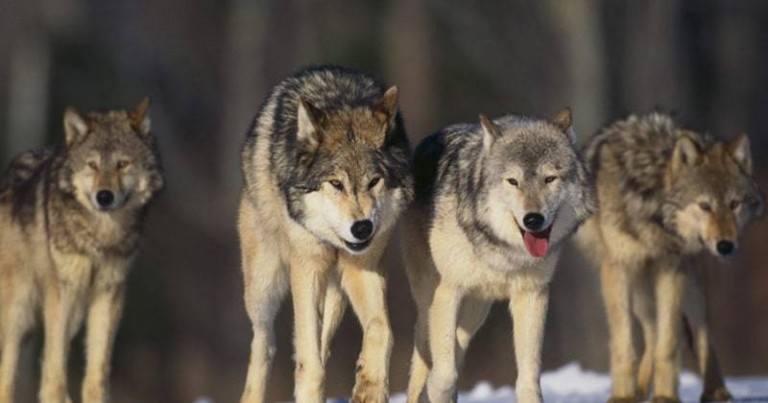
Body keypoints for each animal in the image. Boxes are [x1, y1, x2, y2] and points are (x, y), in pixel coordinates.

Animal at [0, 99, 164, 403]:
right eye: (92, 165)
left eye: (122, 164)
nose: (104, 196)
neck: (100, 237)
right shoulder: (61, 292)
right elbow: (54, 373)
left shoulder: (109, 293)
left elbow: (95, 372)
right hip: (18, 311)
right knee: (8, 372)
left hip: (72, 314)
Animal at [238, 66, 413, 402]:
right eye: (335, 183)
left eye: (374, 181)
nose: (362, 227)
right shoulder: (306, 268)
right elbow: (310, 363)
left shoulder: (362, 267)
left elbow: (382, 330)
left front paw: (370, 387)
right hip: (264, 286)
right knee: (264, 342)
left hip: (337, 291)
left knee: (321, 344)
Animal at [403, 109, 595, 403]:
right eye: (513, 181)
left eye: (549, 179)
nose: (533, 219)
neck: (503, 251)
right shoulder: (449, 291)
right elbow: (442, 377)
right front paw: (435, 388)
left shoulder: (532, 294)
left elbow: (528, 381)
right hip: (430, 305)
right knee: (424, 358)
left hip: (475, 312)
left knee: (458, 351)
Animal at [581, 113, 763, 402]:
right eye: (705, 206)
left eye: (734, 204)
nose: (725, 246)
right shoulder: (618, 268)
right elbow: (625, 344)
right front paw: (623, 395)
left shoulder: (672, 267)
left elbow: (669, 343)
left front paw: (666, 395)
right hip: (640, 288)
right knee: (652, 333)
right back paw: (640, 389)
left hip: (688, 284)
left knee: (699, 332)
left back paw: (715, 391)